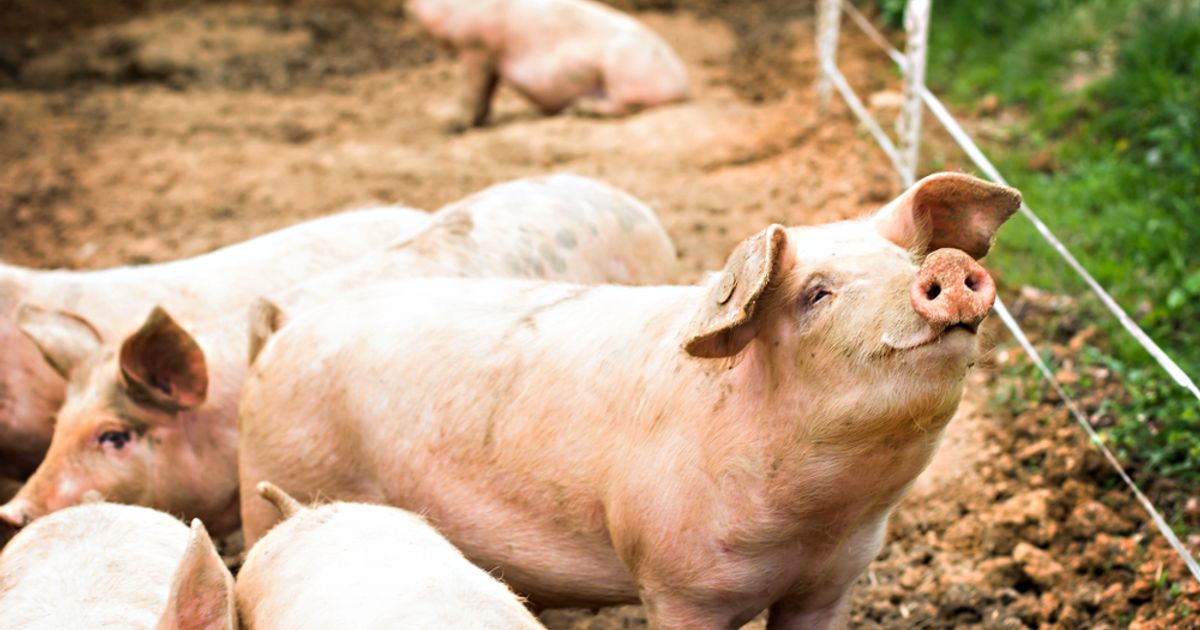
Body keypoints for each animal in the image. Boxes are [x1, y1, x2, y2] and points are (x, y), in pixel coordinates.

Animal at [407, 0, 689, 130]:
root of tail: (683, 85)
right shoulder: (491, 58)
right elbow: (486, 92)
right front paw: (482, 121)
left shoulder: (477, 46)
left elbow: (471, 90)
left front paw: (451, 126)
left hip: (625, 70)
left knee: (625, 106)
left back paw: (577, 109)